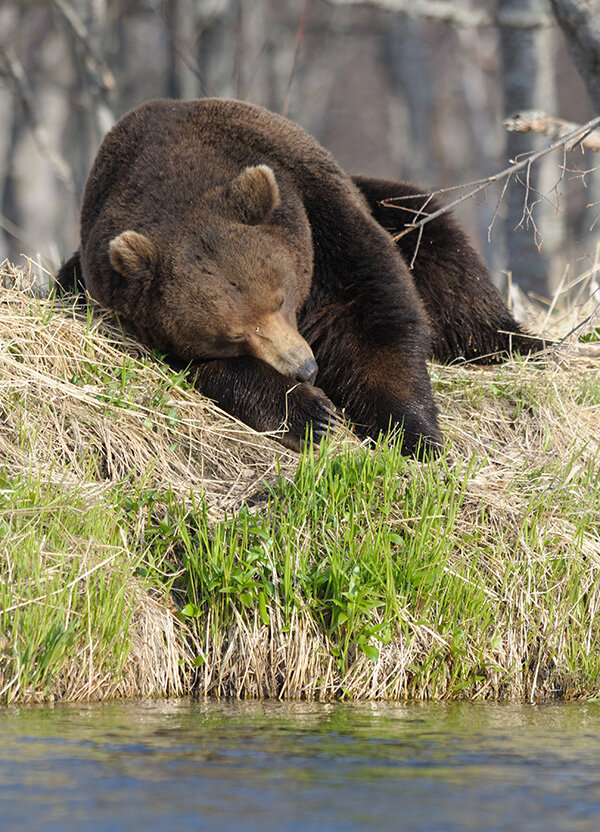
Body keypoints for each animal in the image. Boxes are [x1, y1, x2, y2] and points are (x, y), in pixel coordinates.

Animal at [57, 101, 544, 458]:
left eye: (279, 298)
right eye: (232, 334)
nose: (306, 367)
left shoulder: (319, 212)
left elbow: (368, 315)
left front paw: (412, 431)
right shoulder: (132, 313)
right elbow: (209, 369)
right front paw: (312, 414)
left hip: (394, 210)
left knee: (443, 255)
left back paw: (520, 343)